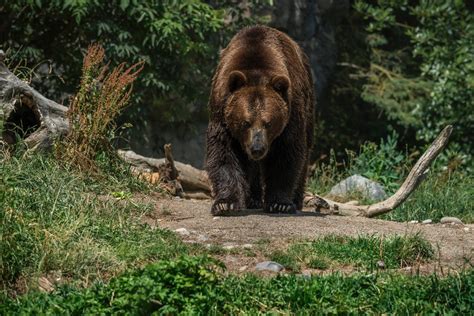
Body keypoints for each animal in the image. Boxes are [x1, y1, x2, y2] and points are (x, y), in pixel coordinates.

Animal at [205, 25, 312, 216]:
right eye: (245, 122)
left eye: (268, 123)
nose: (257, 148)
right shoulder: (222, 111)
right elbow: (223, 152)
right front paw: (225, 203)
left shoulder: (292, 111)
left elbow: (286, 153)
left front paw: (280, 204)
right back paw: (252, 199)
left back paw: (295, 200)